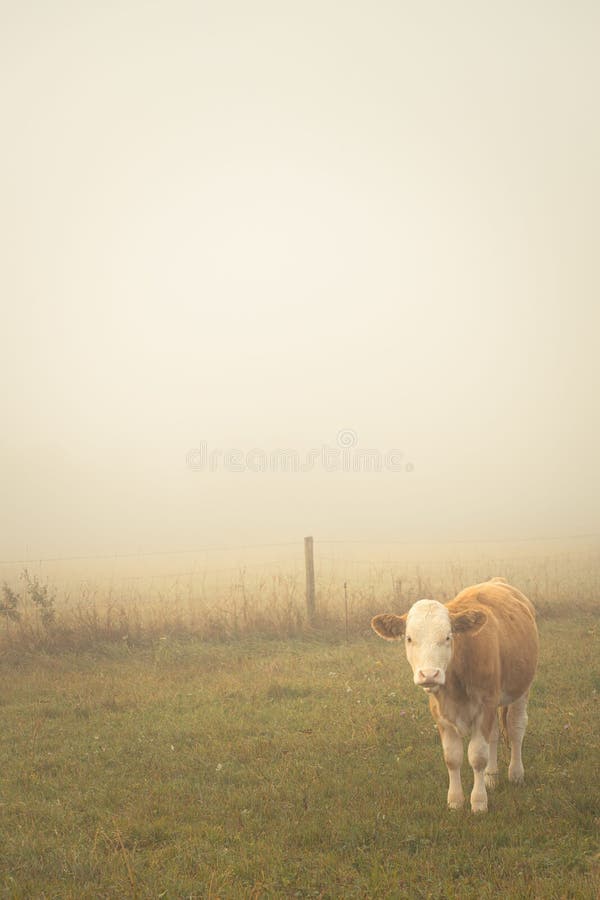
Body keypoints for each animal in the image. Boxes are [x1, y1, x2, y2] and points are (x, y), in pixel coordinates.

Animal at [371, 578, 538, 813]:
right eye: (409, 638)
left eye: (448, 637)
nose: (429, 674)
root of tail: (497, 581)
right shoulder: (440, 712)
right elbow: (452, 757)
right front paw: (455, 801)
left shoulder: (485, 706)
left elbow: (477, 756)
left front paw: (478, 802)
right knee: (495, 734)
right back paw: (491, 777)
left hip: (522, 687)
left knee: (515, 728)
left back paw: (515, 774)